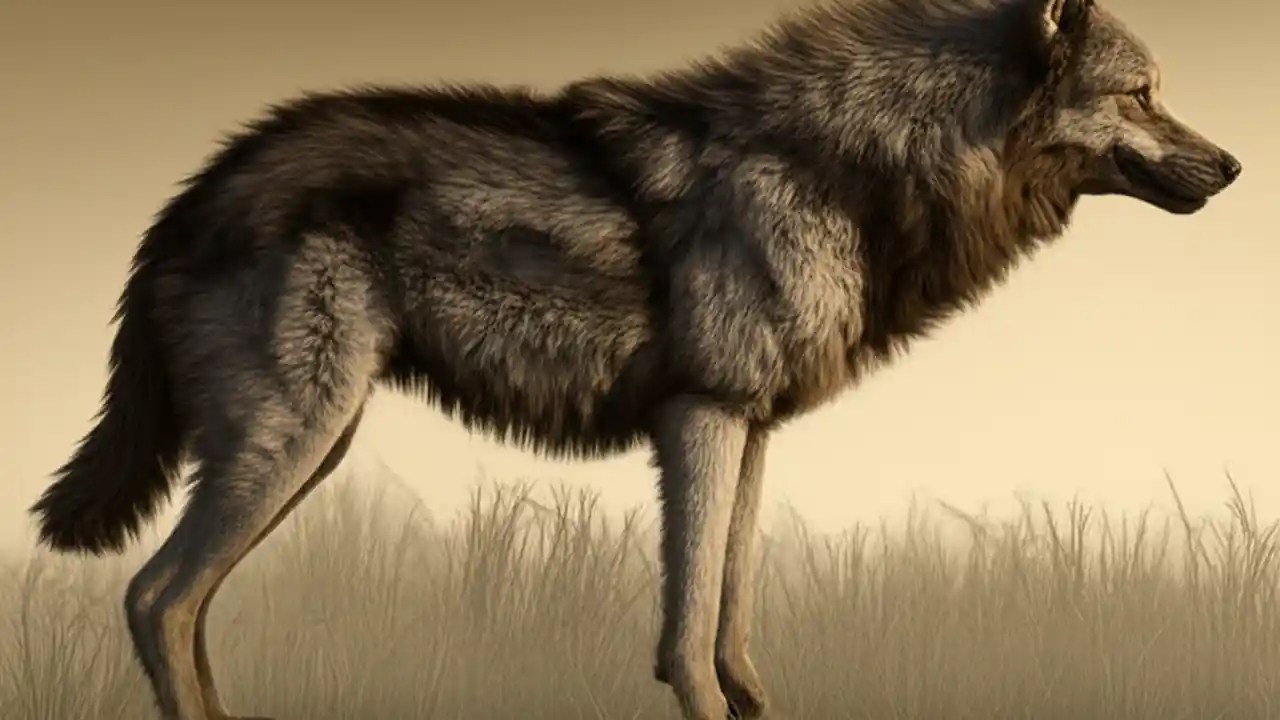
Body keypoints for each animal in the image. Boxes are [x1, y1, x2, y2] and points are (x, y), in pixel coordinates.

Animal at [30, 0, 1239, 717]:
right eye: (1141, 93)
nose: (1231, 167)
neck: (839, 167)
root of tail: (200, 187)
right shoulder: (698, 419)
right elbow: (686, 634)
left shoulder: (748, 429)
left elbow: (731, 615)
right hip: (289, 444)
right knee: (157, 597)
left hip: (310, 449)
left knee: (176, 604)